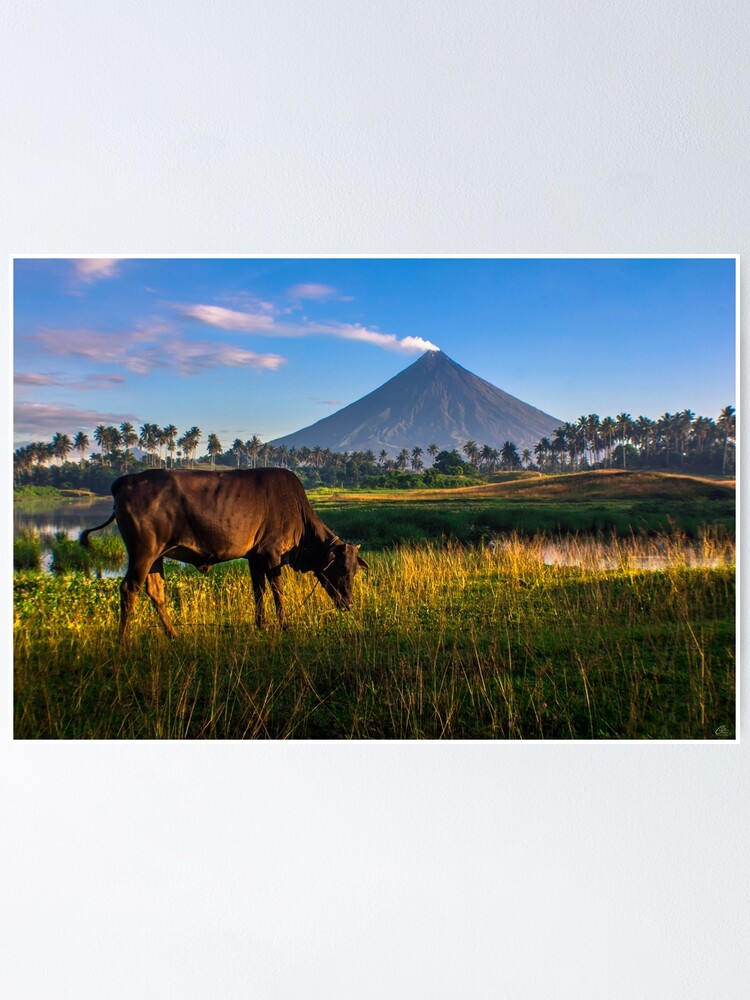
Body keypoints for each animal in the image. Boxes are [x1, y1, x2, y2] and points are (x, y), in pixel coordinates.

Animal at [80, 468, 368, 641]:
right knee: (129, 589)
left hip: (156, 556)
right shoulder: (271, 554)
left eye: (355, 571)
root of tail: (126, 481)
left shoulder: (255, 556)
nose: (349, 605)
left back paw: (174, 635)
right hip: (142, 552)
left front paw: (262, 625)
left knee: (155, 591)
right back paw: (123, 641)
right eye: (341, 569)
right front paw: (285, 626)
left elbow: (259, 591)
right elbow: (278, 590)